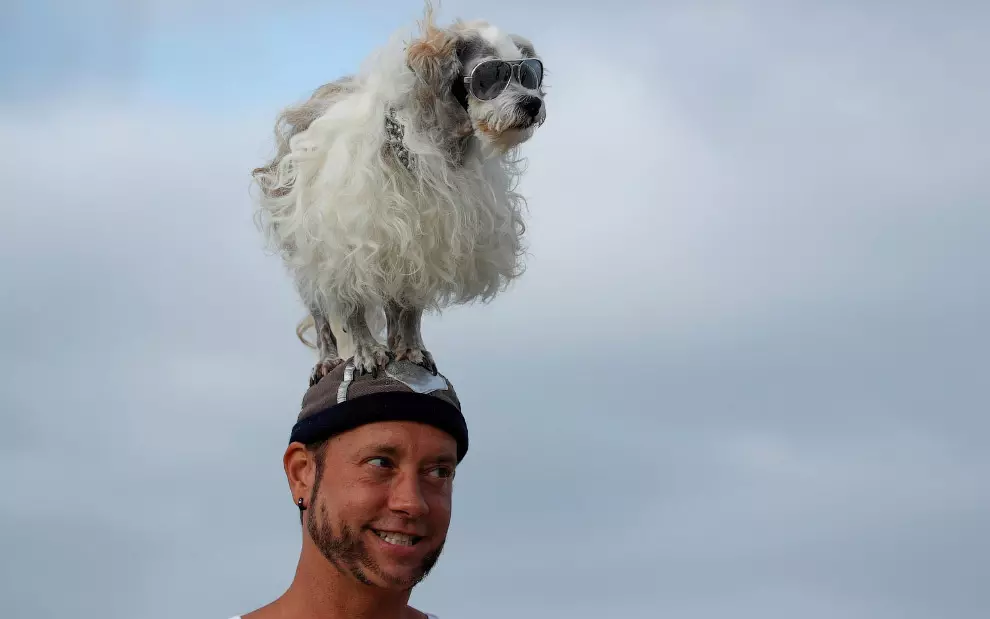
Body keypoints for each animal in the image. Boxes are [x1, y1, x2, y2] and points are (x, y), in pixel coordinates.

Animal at [254, 6, 552, 382]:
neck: (431, 146)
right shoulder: (350, 248)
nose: (533, 103)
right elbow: (353, 312)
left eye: (529, 74)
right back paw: (328, 359)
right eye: (491, 75)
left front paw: (410, 349)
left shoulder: (422, 245)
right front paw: (367, 352)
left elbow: (410, 313)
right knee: (323, 318)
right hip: (309, 259)